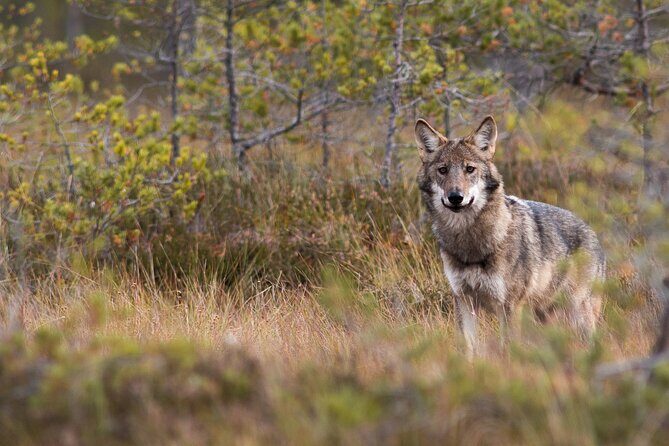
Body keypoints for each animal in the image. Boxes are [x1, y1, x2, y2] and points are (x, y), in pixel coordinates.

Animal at [414, 116, 605, 356]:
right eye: (443, 170)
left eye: (469, 169)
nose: (456, 197)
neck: (471, 245)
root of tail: (592, 232)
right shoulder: (463, 300)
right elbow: (468, 349)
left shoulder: (509, 306)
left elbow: (507, 350)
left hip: (578, 315)